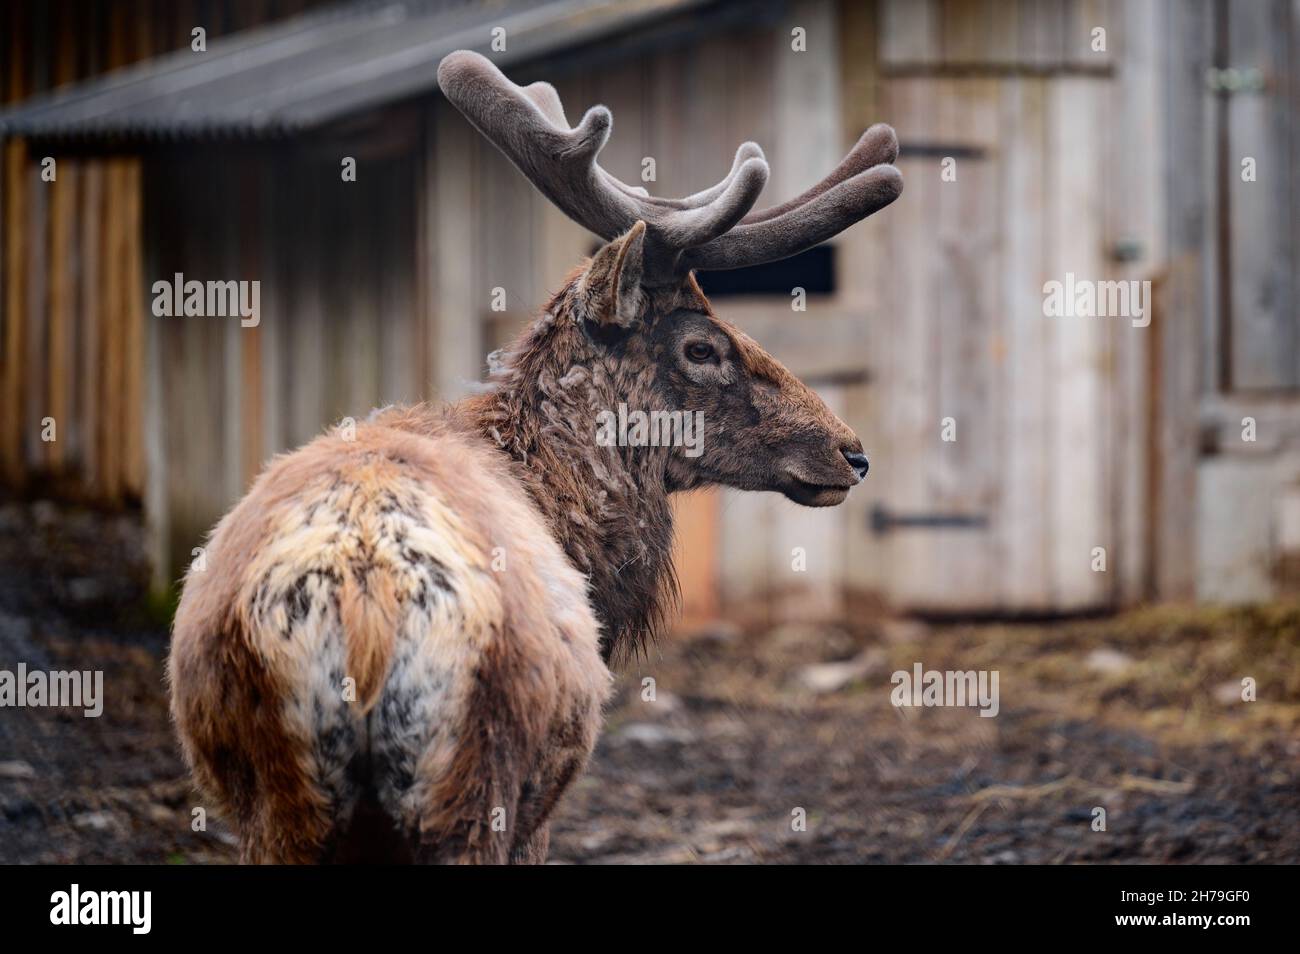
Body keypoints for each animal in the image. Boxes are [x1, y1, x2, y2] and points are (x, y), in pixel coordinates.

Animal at [167, 50, 902, 864]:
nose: (851, 452)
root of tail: (364, 607)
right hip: (481, 782)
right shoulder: (542, 803)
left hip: (277, 805)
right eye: (702, 347)